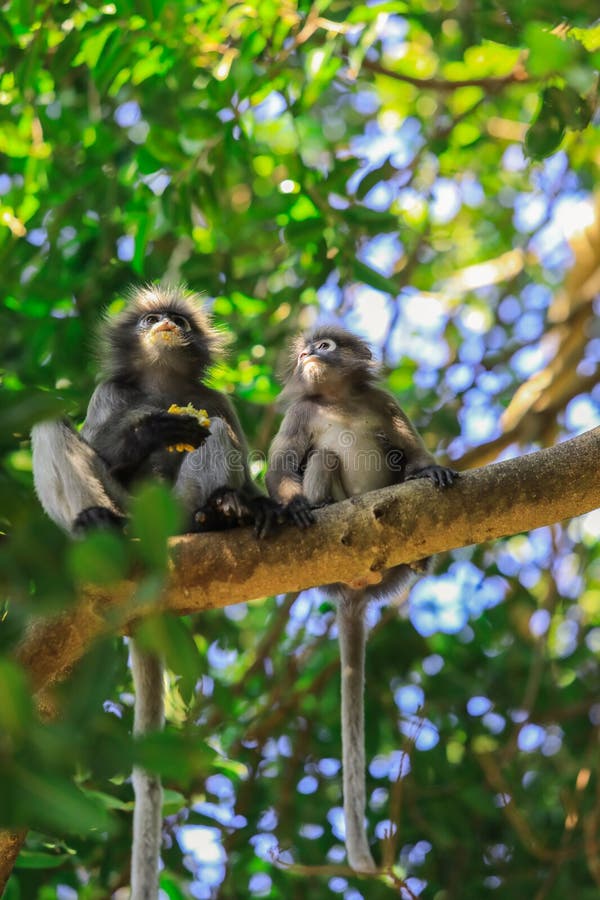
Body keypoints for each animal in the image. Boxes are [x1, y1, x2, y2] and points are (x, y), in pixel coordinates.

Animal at [31, 284, 280, 899]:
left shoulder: (211, 397)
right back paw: (95, 525)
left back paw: (221, 514)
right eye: (150, 320)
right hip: (126, 510)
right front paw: (148, 434)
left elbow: (223, 427)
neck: (163, 386)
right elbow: (103, 442)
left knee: (216, 434)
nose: (165, 322)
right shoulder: (110, 394)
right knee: (50, 429)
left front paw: (251, 501)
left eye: (176, 321)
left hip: (179, 507)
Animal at [265, 326, 457, 872]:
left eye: (325, 346)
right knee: (324, 457)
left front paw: (430, 471)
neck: (339, 401)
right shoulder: (300, 414)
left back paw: (419, 560)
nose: (310, 354)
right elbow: (283, 464)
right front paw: (293, 505)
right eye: (305, 350)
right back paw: (319, 505)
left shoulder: (381, 401)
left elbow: (409, 445)